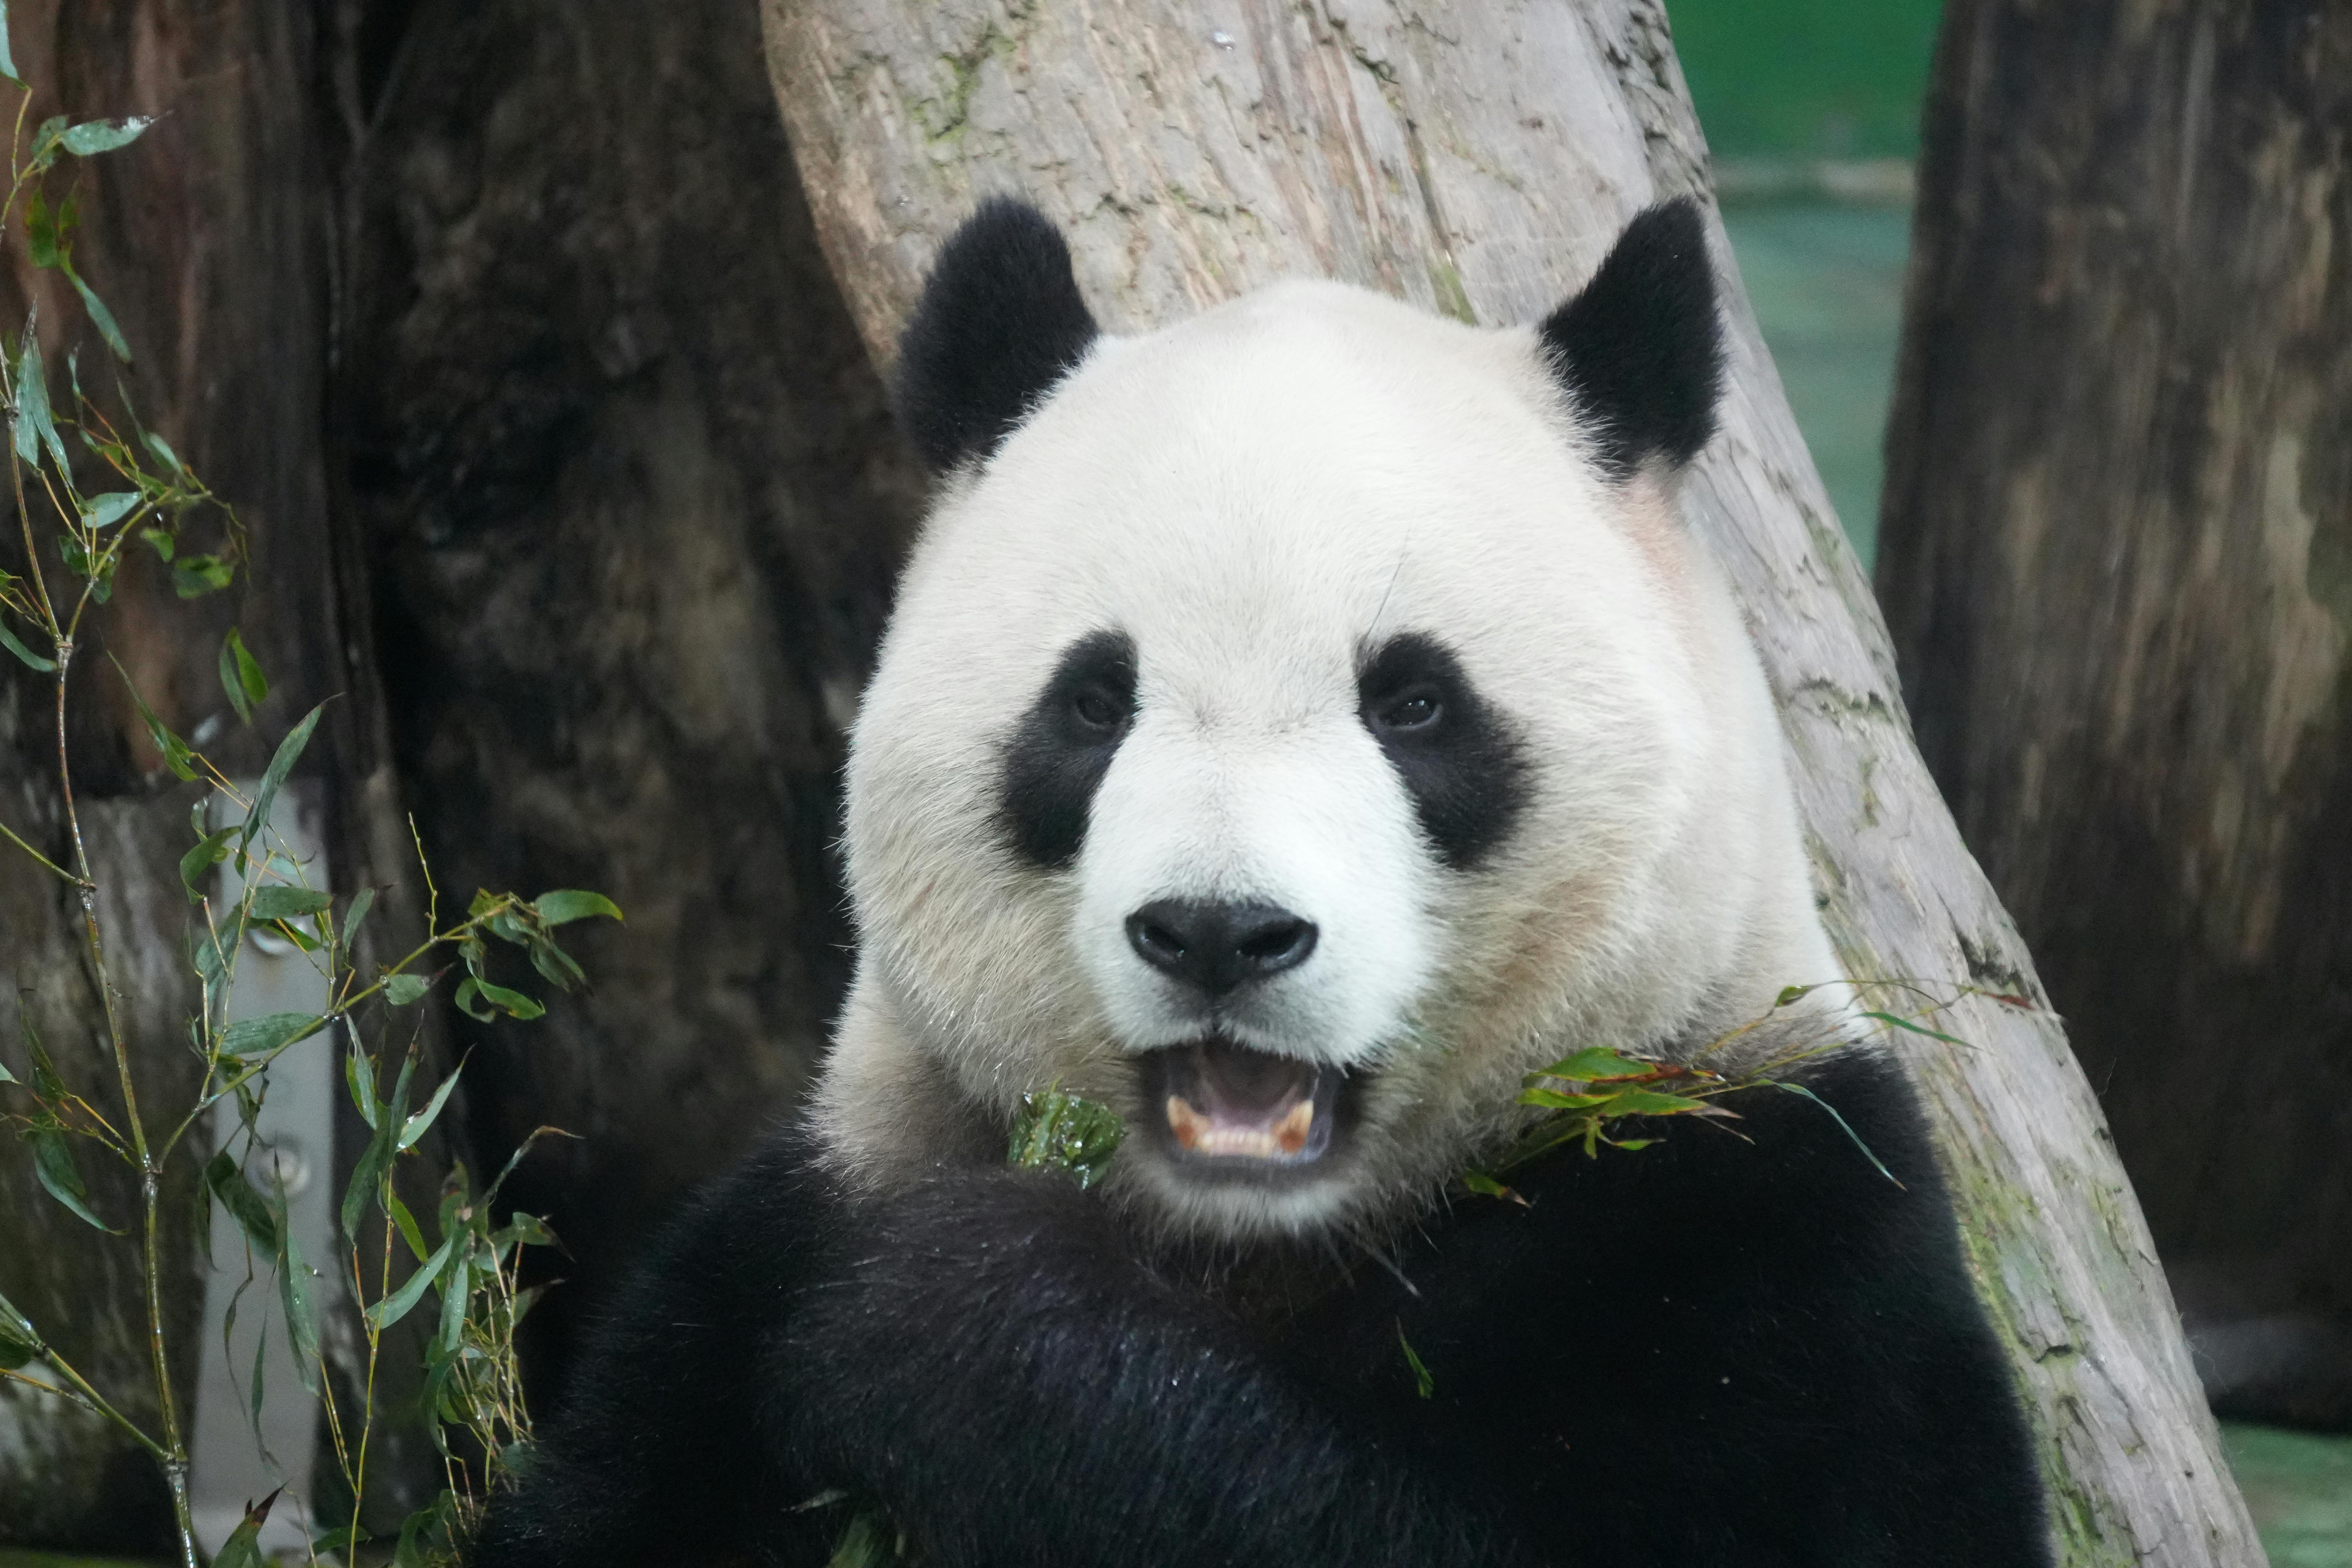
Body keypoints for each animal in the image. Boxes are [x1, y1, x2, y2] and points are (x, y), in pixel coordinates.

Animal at [470, 198, 2051, 1568]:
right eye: (1092, 703)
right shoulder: (780, 1240)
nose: (1219, 932)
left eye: (1412, 704)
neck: (1243, 1240)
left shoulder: (1761, 1226)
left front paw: (951, 1310)